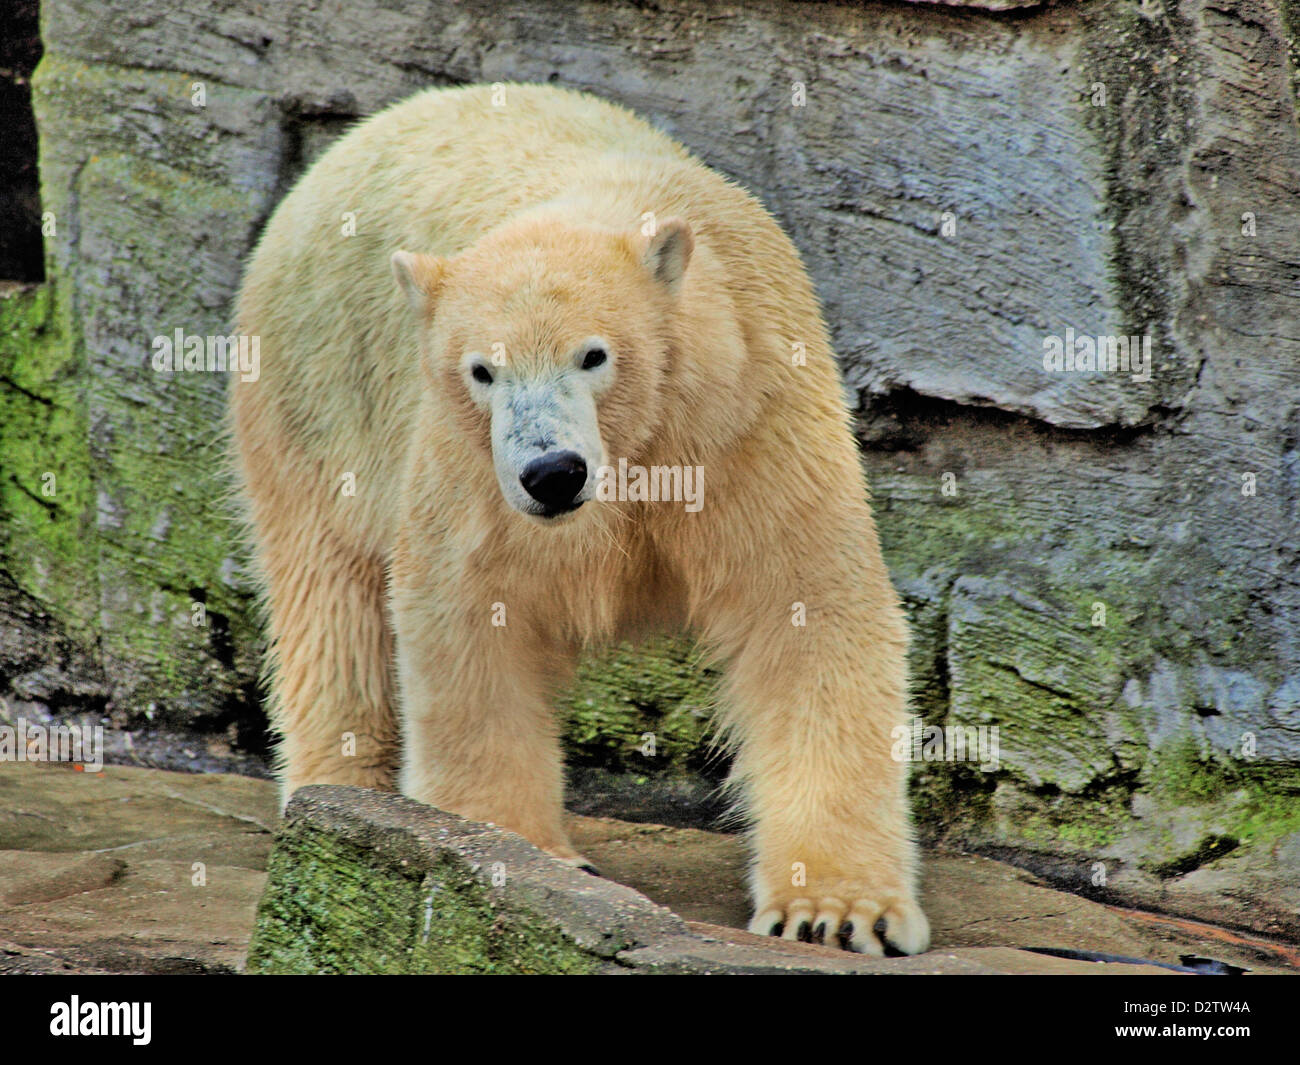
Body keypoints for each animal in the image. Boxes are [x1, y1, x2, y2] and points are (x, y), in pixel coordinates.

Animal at [230, 83, 929, 956]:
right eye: (482, 370)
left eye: (593, 355)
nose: (552, 472)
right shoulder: (467, 460)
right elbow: (466, 614)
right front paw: (511, 850)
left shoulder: (747, 412)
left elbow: (804, 603)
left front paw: (836, 912)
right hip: (315, 389)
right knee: (329, 600)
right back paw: (338, 800)